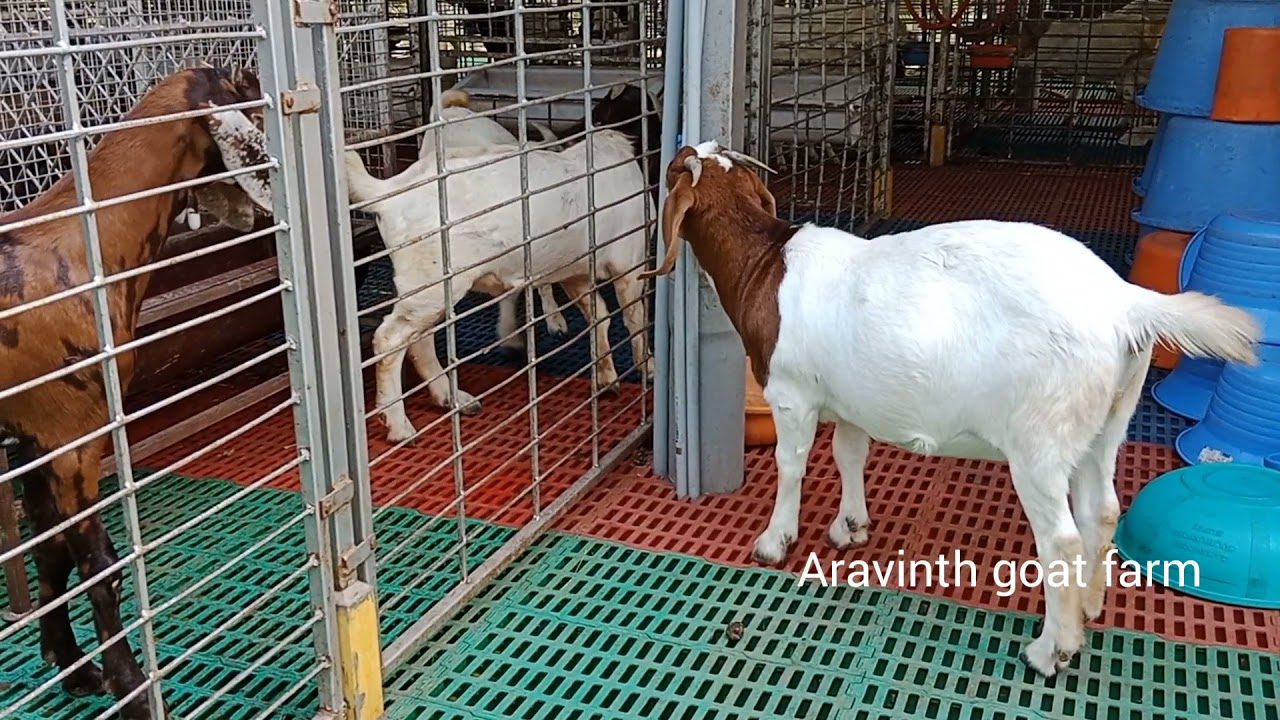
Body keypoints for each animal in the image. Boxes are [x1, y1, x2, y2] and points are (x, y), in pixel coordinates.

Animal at [0, 66, 270, 719]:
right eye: (250, 101)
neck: (82, 243)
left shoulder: (33, 439)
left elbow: (50, 550)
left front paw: (73, 669)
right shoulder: (73, 431)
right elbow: (100, 565)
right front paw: (132, 690)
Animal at [346, 129, 655, 443]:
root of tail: (388, 193)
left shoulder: (574, 271)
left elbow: (599, 316)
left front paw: (607, 379)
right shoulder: (629, 261)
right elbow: (635, 318)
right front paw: (648, 369)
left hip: (428, 286)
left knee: (420, 338)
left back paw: (457, 400)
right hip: (429, 277)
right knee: (390, 338)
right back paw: (400, 427)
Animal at [643, 141, 1261, 678]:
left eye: (671, 171)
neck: (766, 263)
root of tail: (1124, 303)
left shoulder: (791, 393)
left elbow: (791, 465)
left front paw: (775, 541)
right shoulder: (849, 398)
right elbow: (848, 453)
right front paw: (851, 526)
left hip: (1040, 441)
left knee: (1059, 538)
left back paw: (1051, 649)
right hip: (1104, 422)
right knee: (1101, 510)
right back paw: (1087, 608)